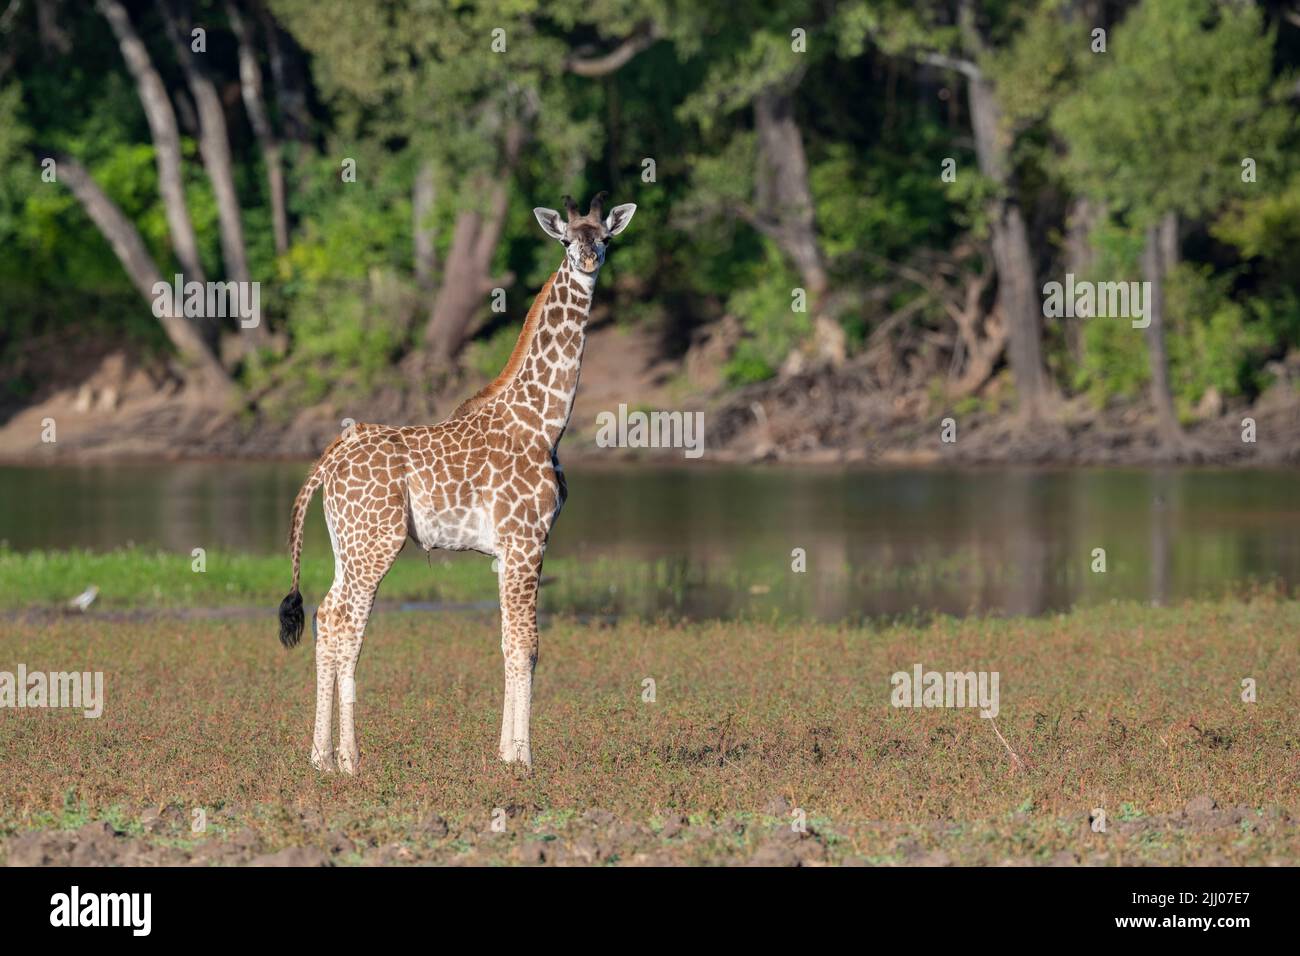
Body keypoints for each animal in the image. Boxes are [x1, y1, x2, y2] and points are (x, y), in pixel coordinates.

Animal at [277, 192, 636, 773]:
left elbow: (508, 642)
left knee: (328, 618)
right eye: (565, 240)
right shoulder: (526, 540)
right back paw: (350, 760)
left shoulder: (506, 551)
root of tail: (329, 461)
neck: (545, 423)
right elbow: (528, 644)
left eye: (604, 237)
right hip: (376, 543)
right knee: (345, 625)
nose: (587, 259)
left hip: (346, 543)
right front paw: (524, 760)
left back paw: (320, 757)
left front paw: (504, 755)